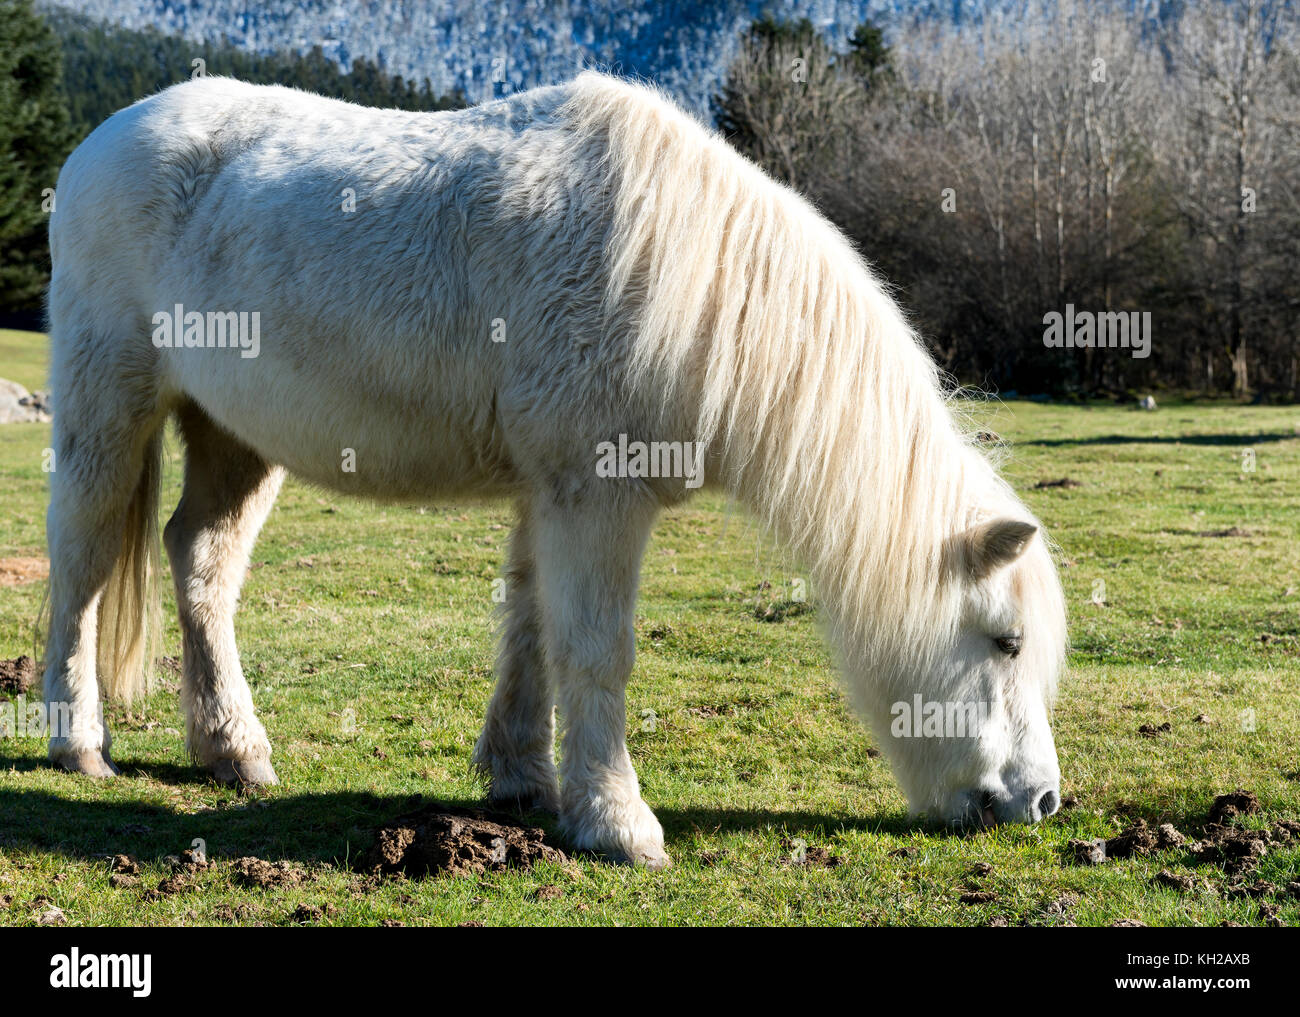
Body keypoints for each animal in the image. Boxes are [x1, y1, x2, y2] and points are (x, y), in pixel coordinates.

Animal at [42, 71, 1067, 869]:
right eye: (1006, 642)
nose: (1042, 801)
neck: (683, 277)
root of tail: (98, 143)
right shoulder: (593, 497)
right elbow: (595, 649)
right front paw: (619, 822)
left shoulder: (548, 496)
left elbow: (531, 632)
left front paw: (523, 781)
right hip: (108, 404)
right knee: (81, 566)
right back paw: (78, 741)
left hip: (232, 434)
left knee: (201, 564)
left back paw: (233, 751)